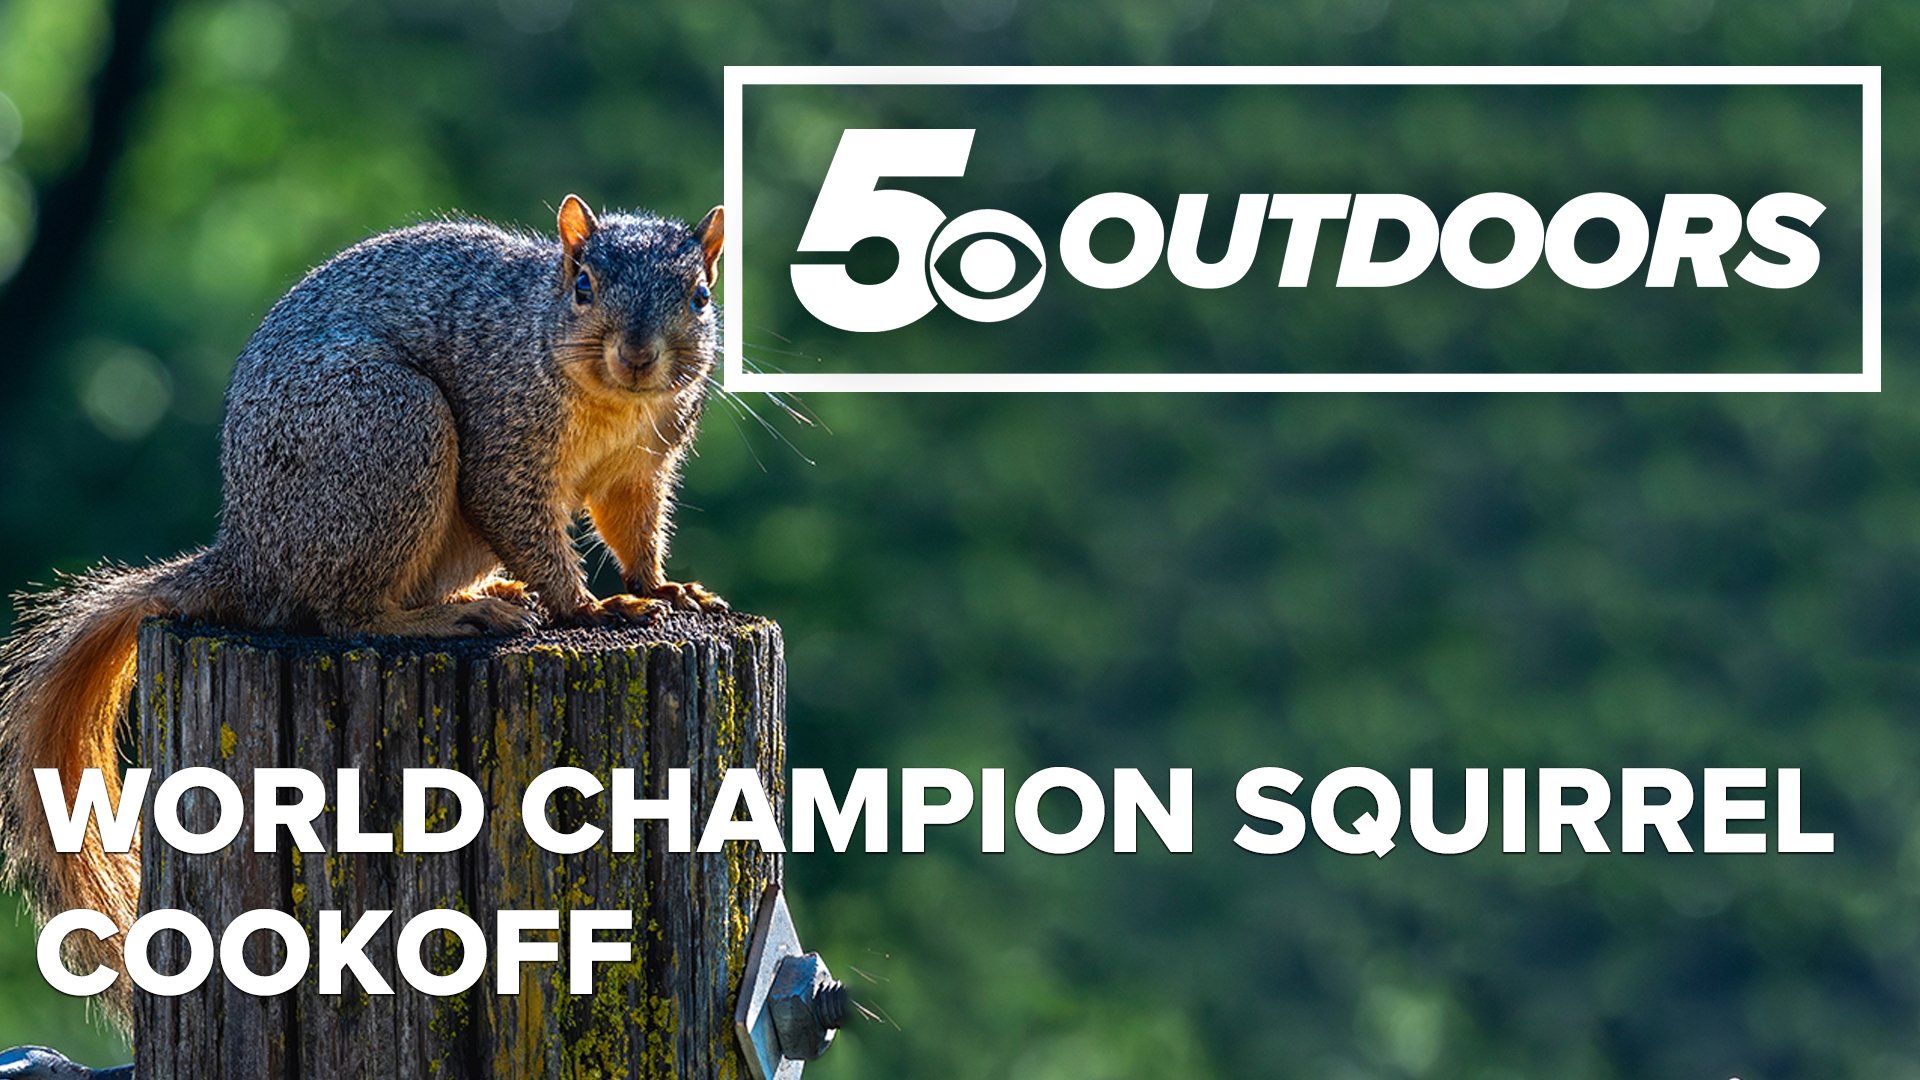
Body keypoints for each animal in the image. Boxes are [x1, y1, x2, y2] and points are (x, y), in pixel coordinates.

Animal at [0, 194, 727, 1023]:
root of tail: (248, 554)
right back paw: (457, 616)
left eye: (699, 297)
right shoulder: (504, 441)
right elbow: (524, 524)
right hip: (391, 432)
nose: (638, 356)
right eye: (583, 287)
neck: (609, 400)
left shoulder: (645, 462)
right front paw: (586, 606)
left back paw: (485, 595)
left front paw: (664, 588)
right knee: (345, 612)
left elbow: (633, 524)